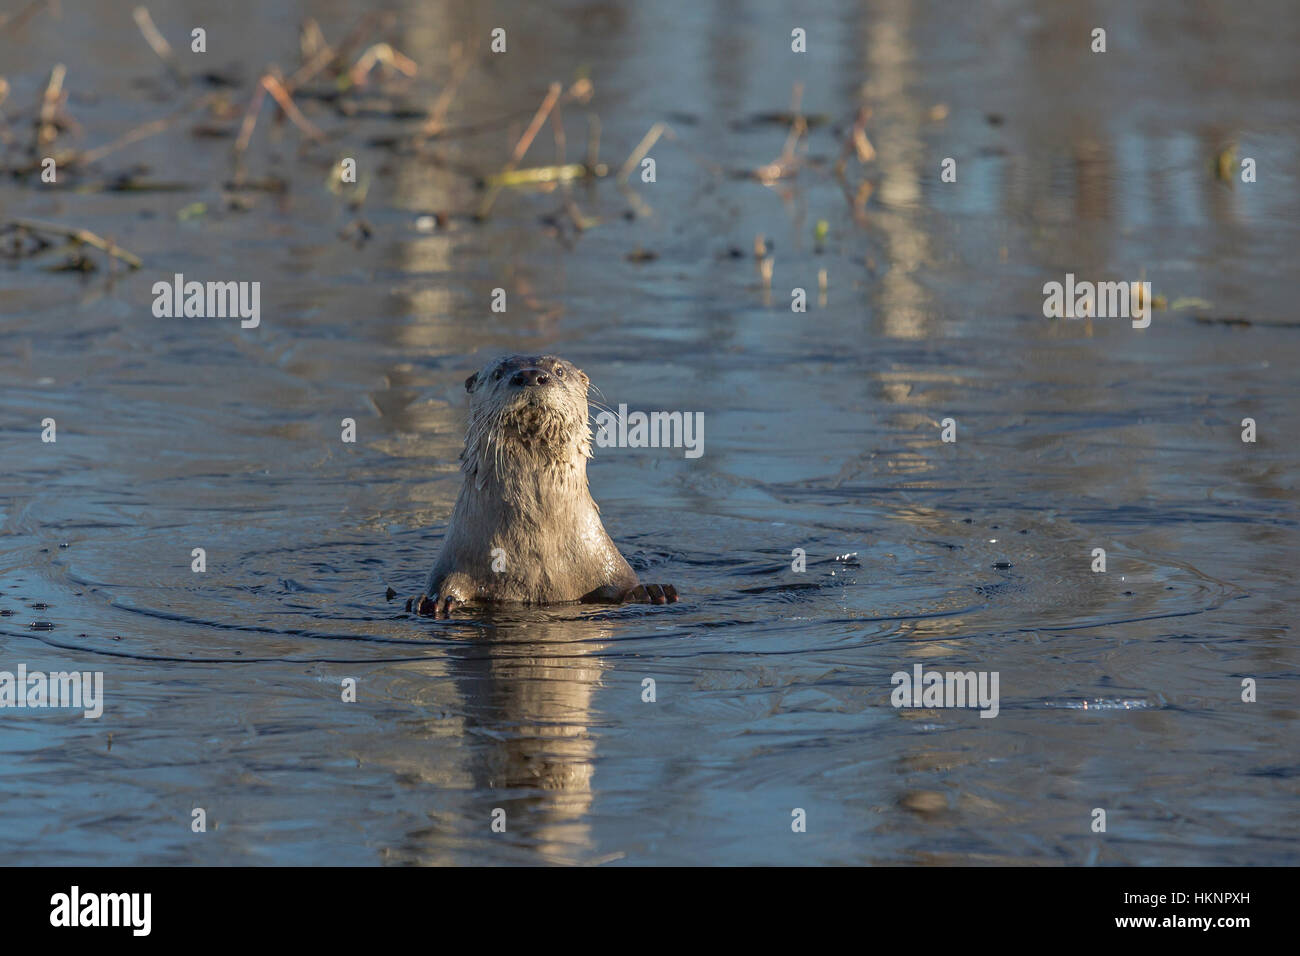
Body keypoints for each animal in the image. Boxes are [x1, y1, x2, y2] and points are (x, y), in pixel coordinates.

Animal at [406, 354, 679, 618]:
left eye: (559, 371)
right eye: (498, 373)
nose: (529, 375)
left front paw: (650, 591)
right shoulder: (455, 561)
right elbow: (447, 585)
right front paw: (434, 600)